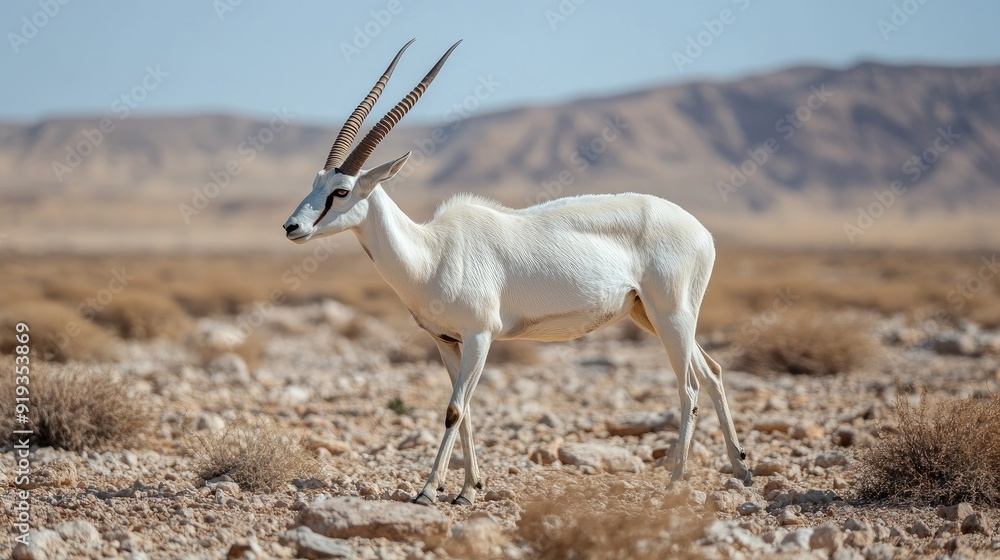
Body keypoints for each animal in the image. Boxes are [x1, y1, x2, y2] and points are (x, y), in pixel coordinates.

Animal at [283, 40, 752, 505]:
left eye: (342, 191)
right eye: (315, 181)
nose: (292, 227)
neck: (432, 252)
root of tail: (701, 231)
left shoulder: (479, 336)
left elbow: (454, 410)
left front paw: (430, 491)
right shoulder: (445, 342)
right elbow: (466, 411)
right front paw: (469, 489)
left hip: (671, 315)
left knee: (689, 387)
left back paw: (676, 481)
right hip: (651, 315)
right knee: (713, 372)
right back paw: (742, 469)